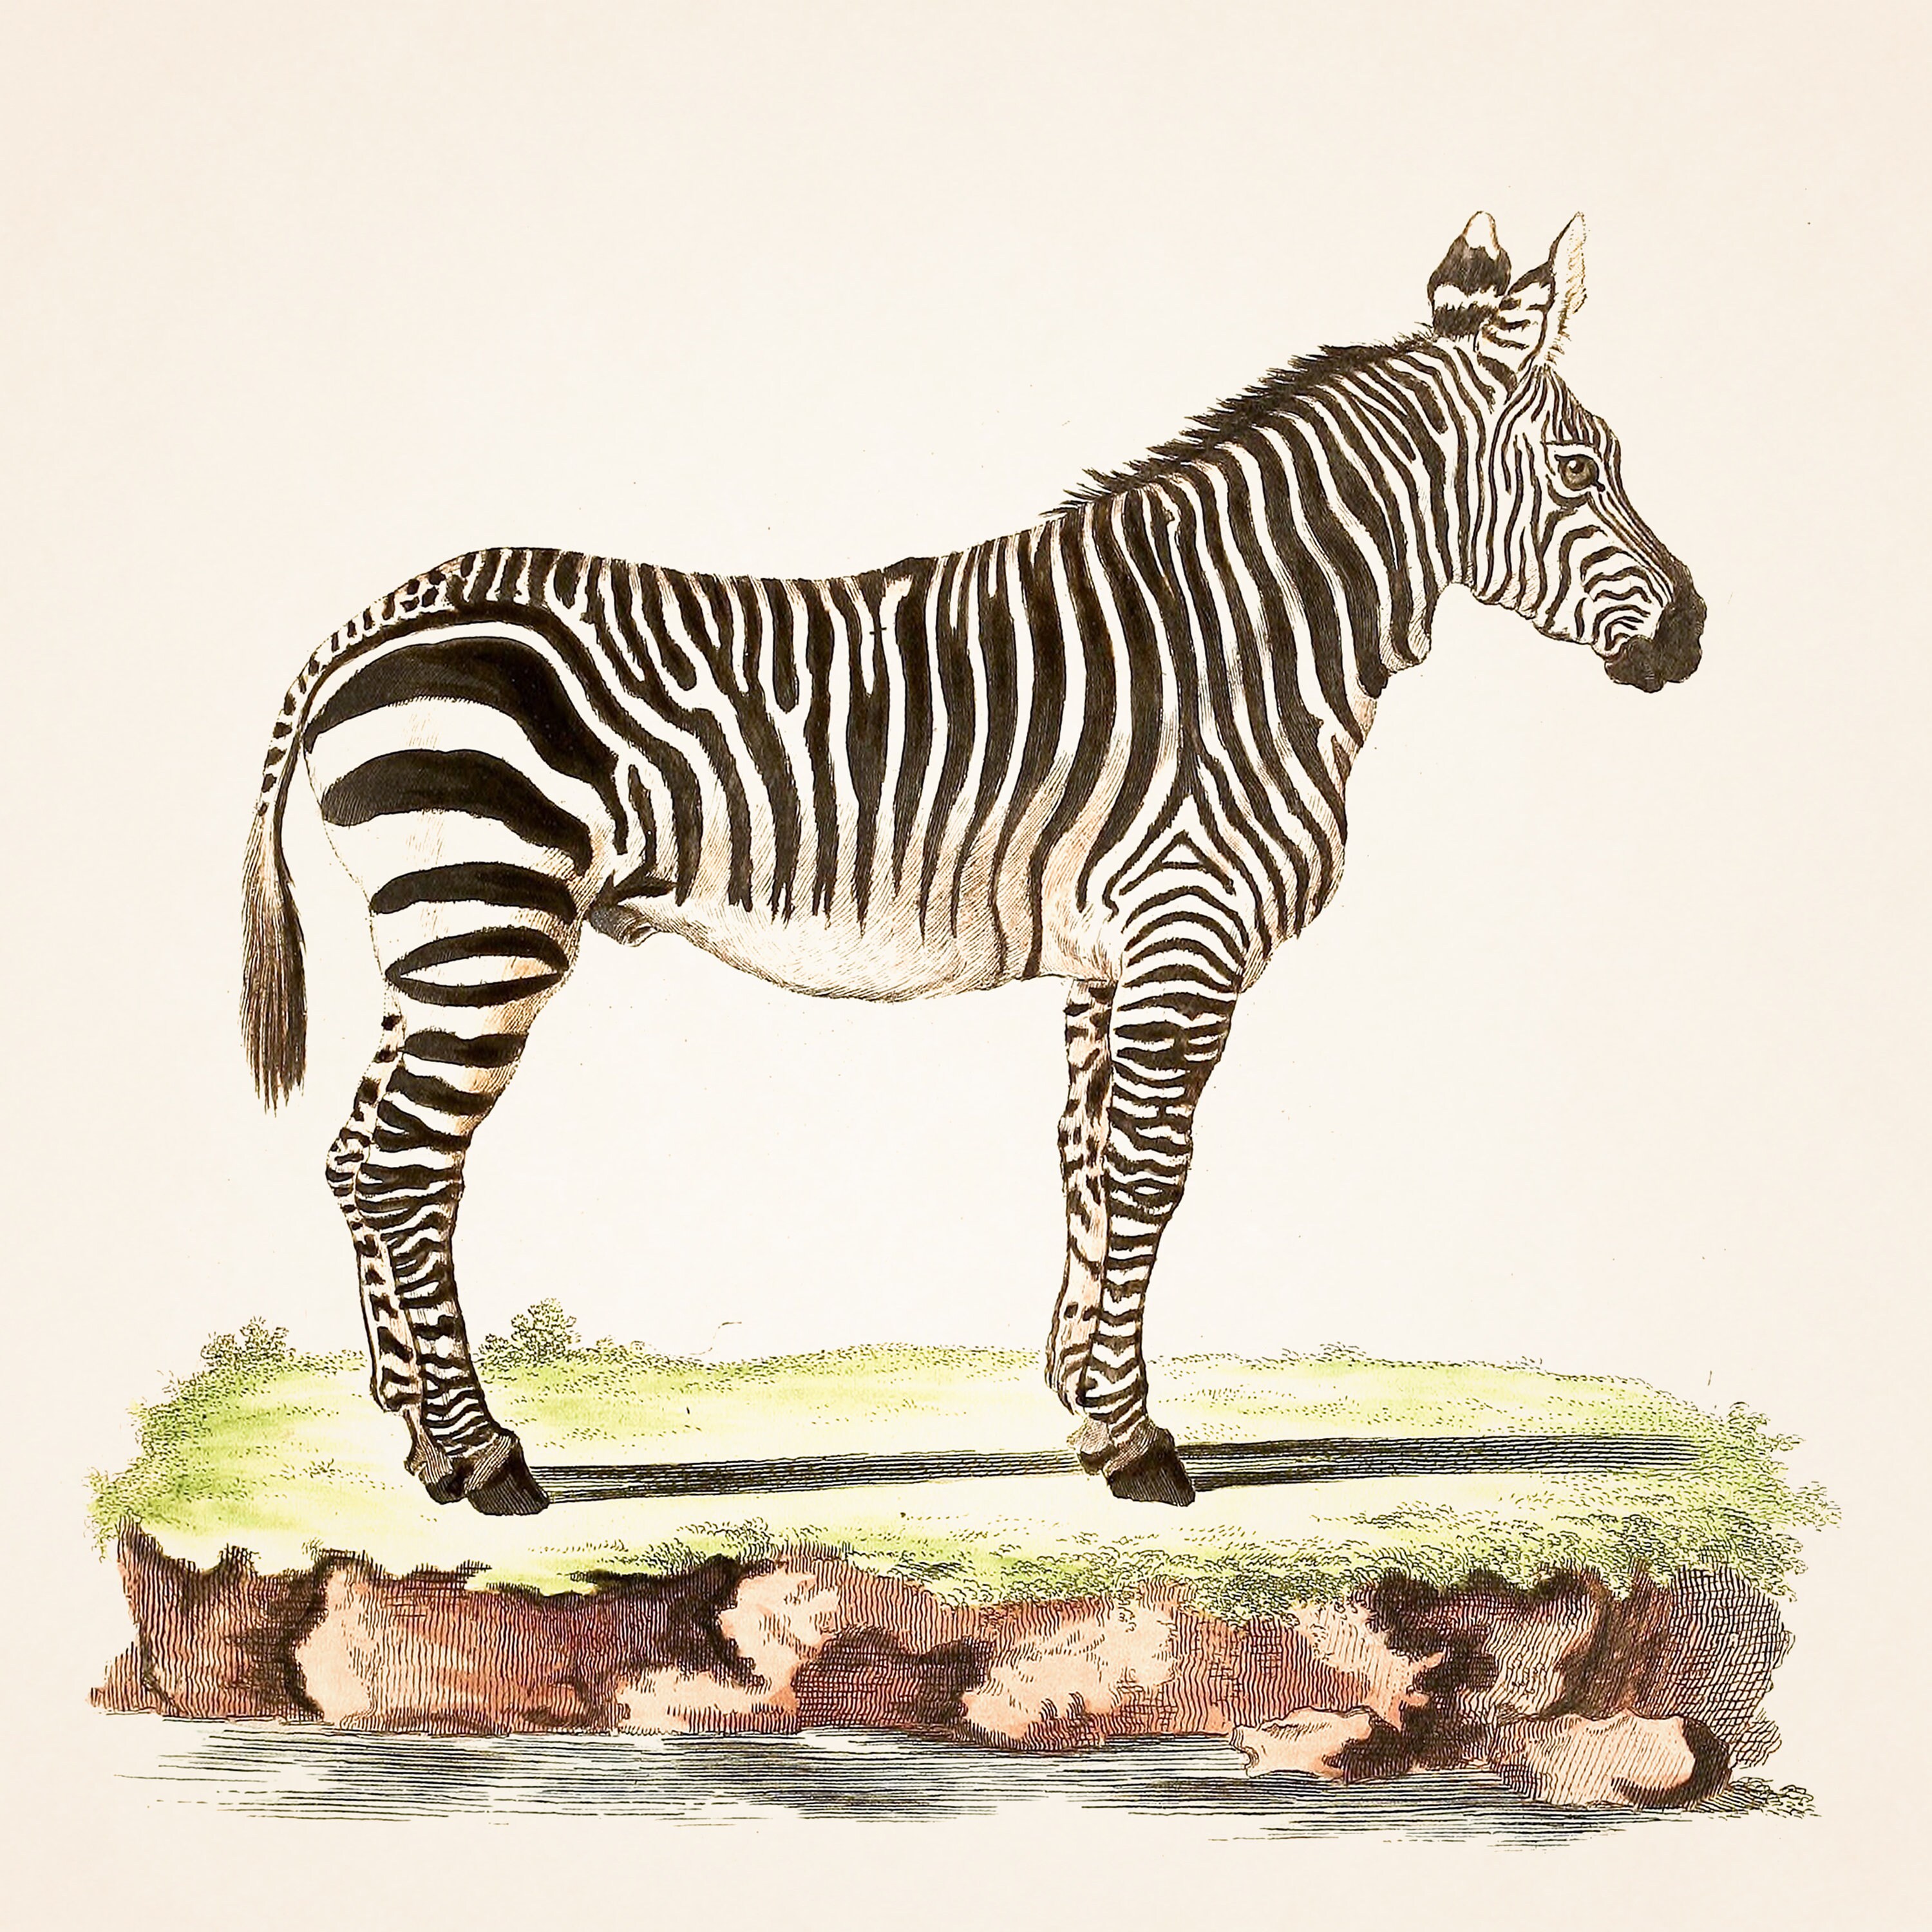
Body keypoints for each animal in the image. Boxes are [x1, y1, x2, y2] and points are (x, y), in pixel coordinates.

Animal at [242, 213, 1704, 1516]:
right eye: (1583, 471)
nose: (1693, 637)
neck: (1240, 648)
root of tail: (374, 619)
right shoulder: (1188, 931)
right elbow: (1153, 1168)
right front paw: (1137, 1443)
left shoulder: (1115, 950)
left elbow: (1086, 1160)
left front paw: (1082, 1401)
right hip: (487, 920)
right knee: (406, 1165)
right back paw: (485, 1459)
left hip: (433, 935)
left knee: (356, 1154)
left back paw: (416, 1438)